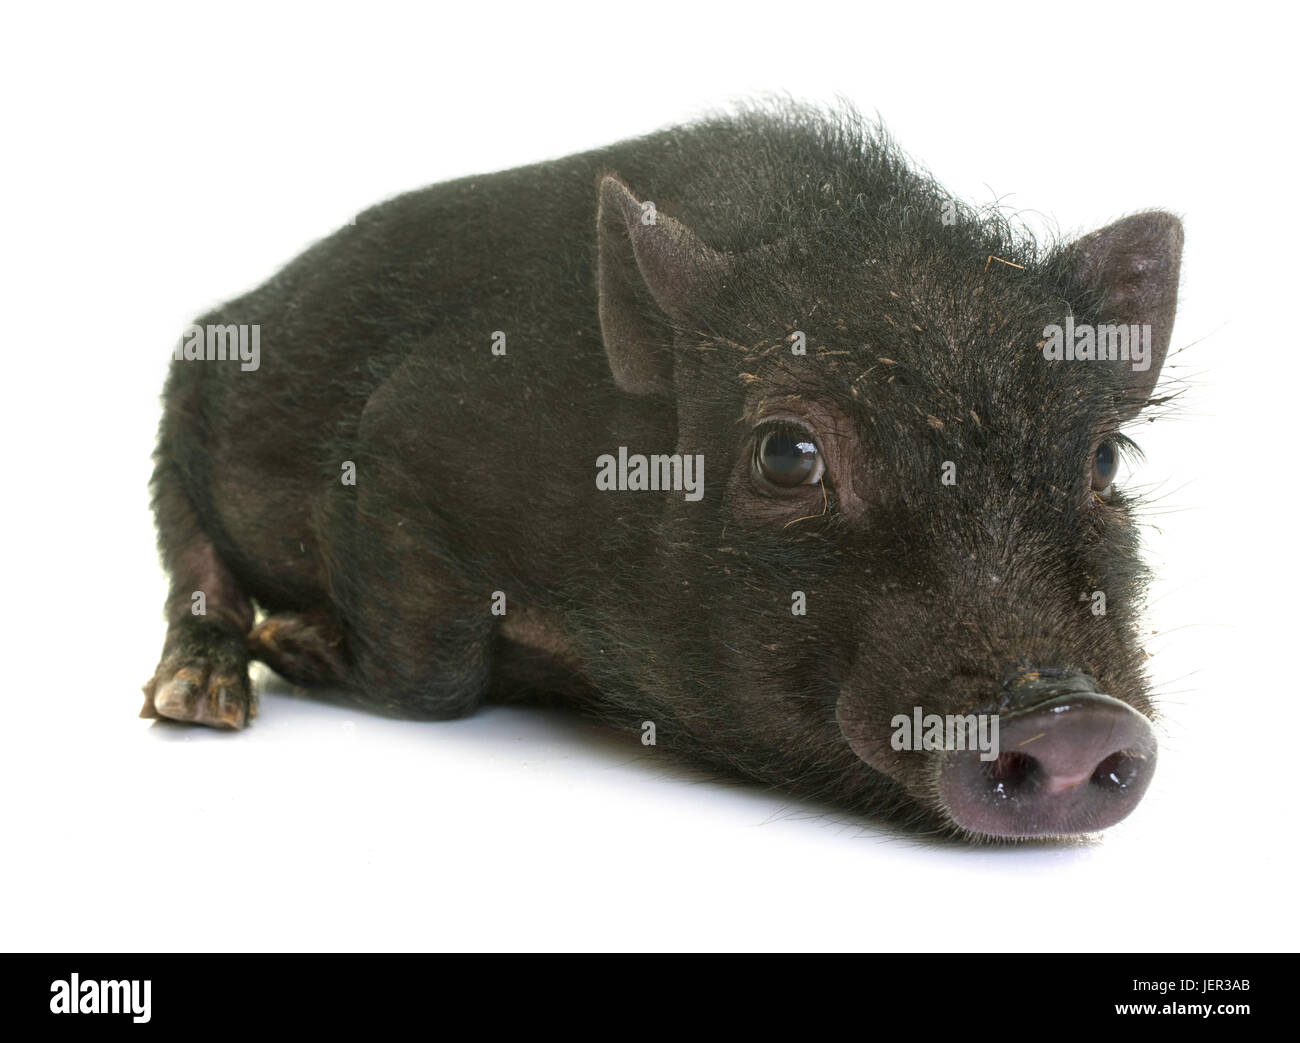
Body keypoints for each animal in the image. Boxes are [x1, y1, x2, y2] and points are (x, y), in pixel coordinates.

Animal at [142, 102, 1182, 840]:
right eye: (787, 452)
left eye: (1104, 457)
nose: (1074, 716)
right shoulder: (400, 441)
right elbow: (428, 670)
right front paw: (297, 644)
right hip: (180, 404)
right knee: (194, 570)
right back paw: (204, 699)